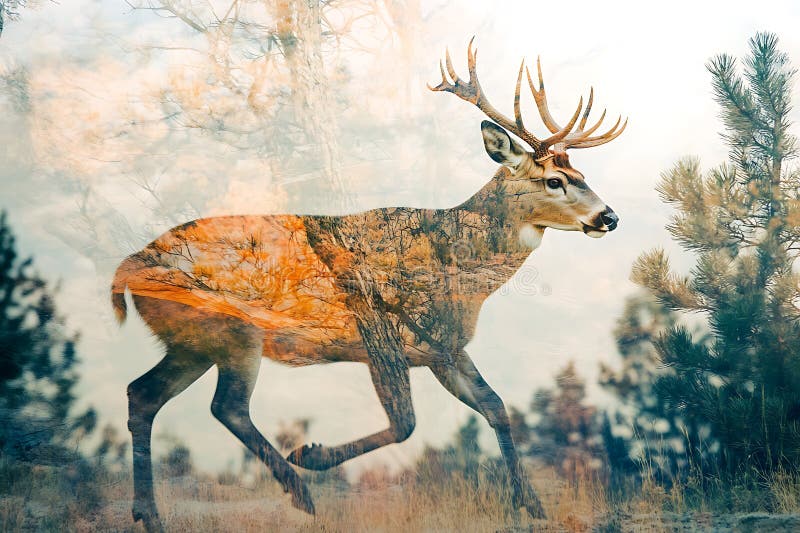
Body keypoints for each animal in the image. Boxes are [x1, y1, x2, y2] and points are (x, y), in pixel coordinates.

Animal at [111, 39, 625, 530]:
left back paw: (150, 514)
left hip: (192, 342)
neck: (456, 270)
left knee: (143, 394)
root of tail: (125, 270)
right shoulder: (379, 331)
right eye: (555, 180)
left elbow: (496, 405)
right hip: (232, 330)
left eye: (583, 174)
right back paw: (301, 492)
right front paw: (313, 454)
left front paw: (532, 504)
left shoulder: (442, 348)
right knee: (227, 406)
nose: (609, 217)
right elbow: (406, 423)